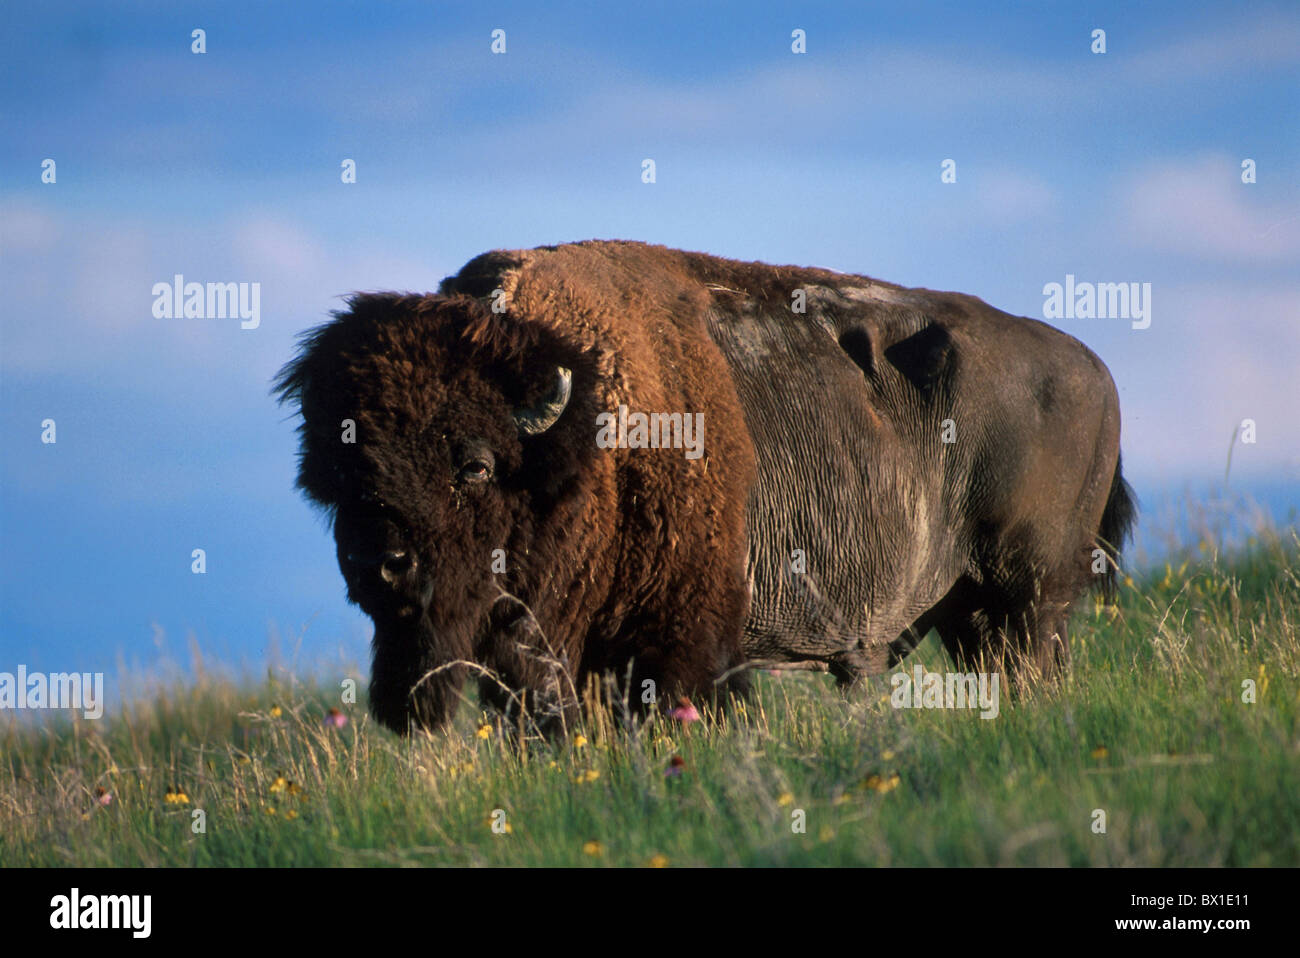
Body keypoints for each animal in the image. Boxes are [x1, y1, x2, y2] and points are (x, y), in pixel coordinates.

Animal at [274, 240, 1135, 734]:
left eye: (475, 465)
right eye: (341, 475)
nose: (383, 564)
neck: (587, 431)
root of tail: (1094, 372)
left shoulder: (678, 642)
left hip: (1032, 595)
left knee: (1036, 662)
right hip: (968, 610)